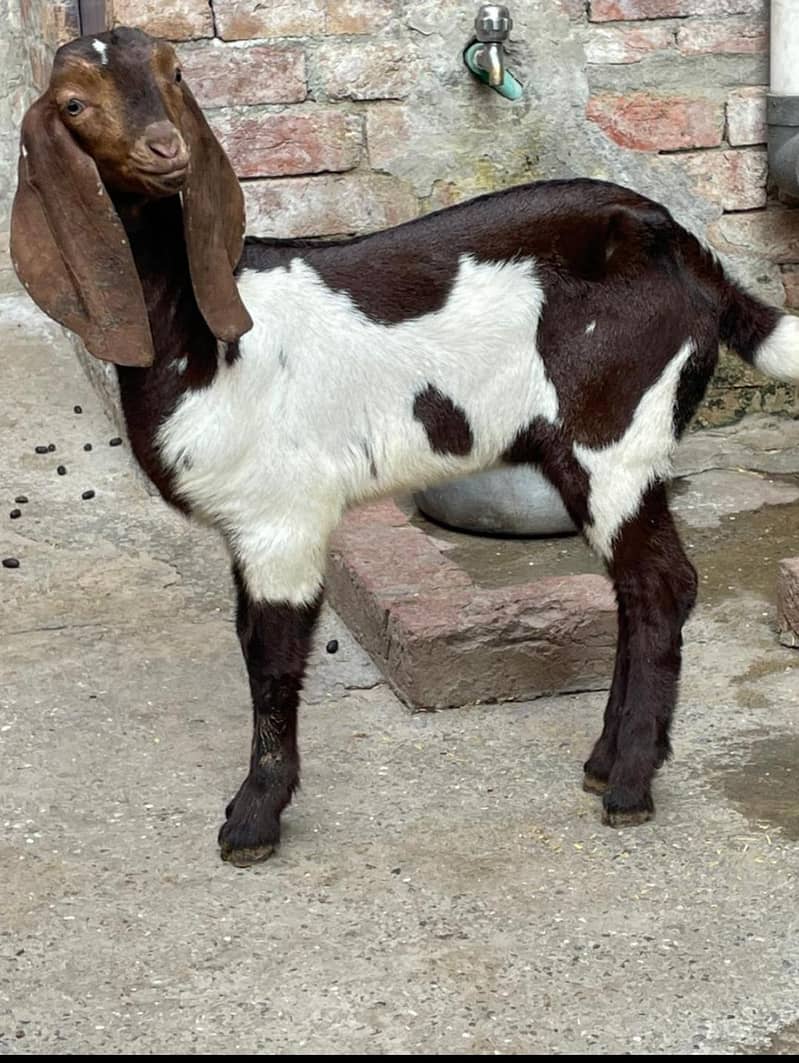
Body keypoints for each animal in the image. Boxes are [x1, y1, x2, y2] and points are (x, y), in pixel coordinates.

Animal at [12, 27, 799, 867]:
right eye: (73, 104)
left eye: (176, 75)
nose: (166, 149)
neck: (205, 338)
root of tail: (679, 247)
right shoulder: (246, 523)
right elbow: (253, 643)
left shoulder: (283, 517)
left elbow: (272, 658)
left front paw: (253, 821)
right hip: (579, 447)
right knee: (632, 583)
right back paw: (602, 762)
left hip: (614, 424)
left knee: (659, 584)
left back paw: (627, 785)